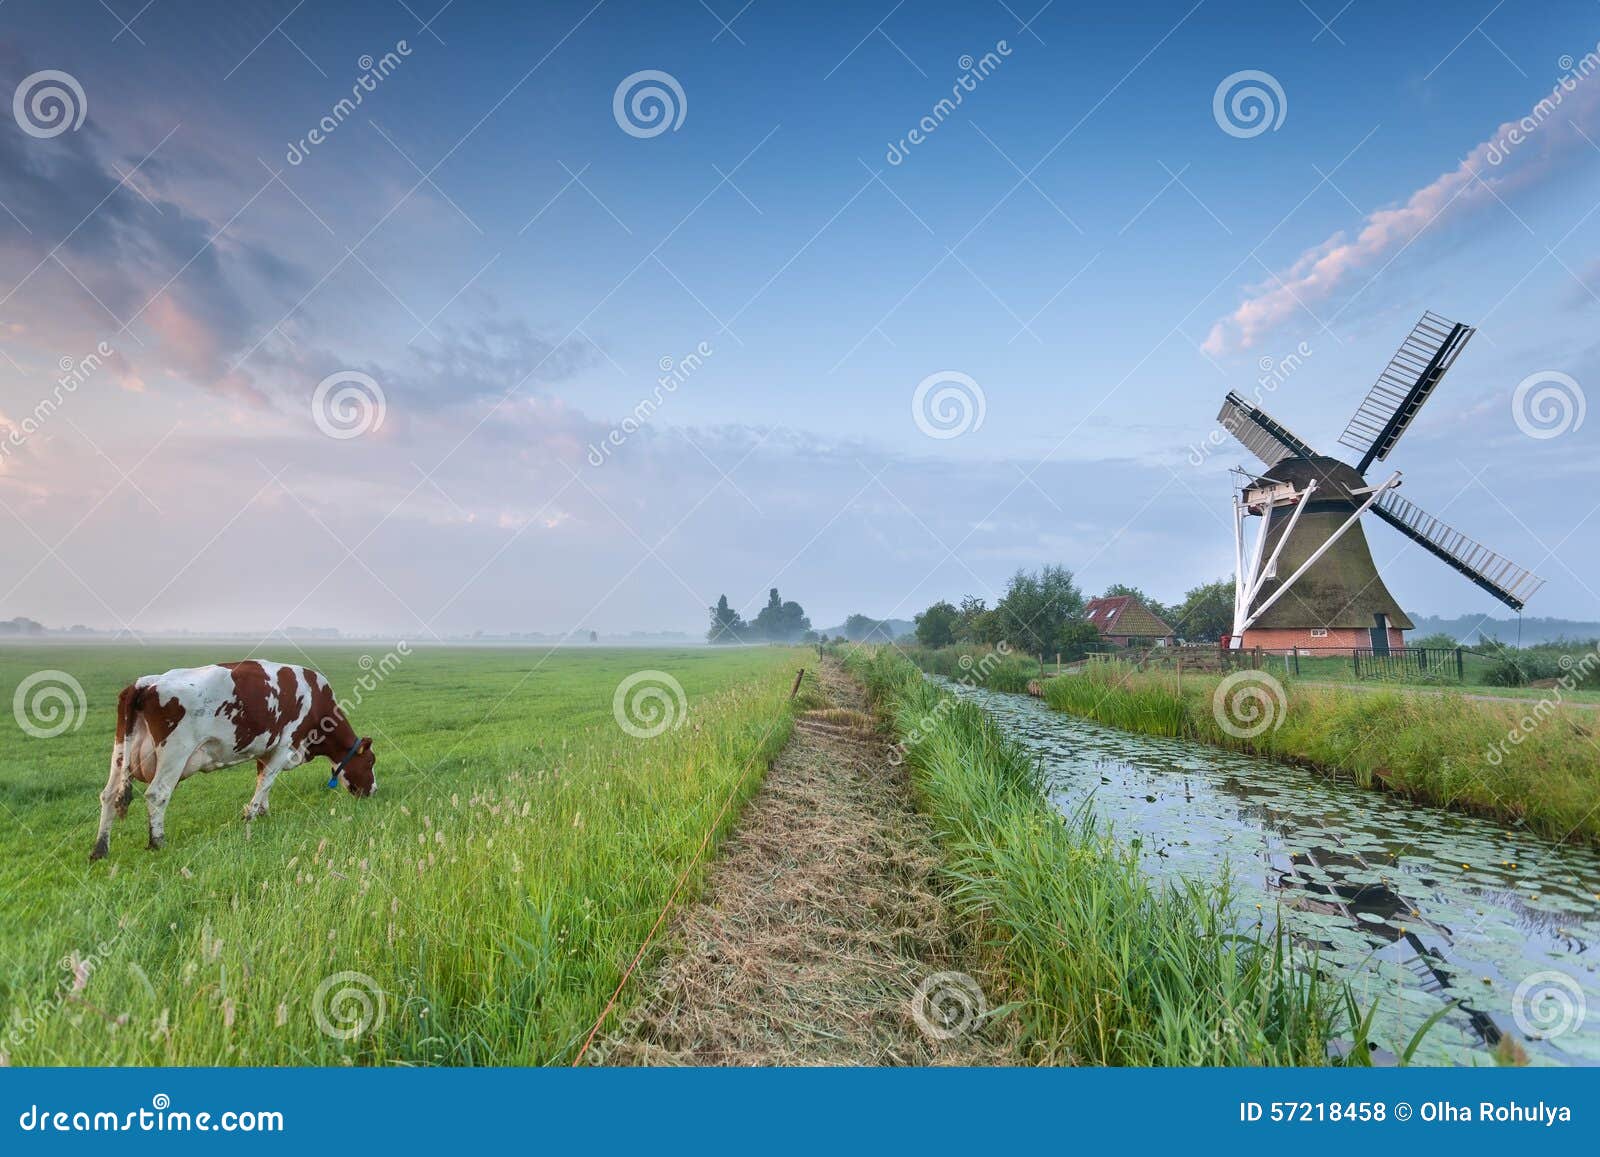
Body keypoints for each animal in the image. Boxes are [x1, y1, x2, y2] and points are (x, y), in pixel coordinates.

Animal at [89, 660, 376, 860]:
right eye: (370, 762)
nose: (373, 790)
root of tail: (144, 684)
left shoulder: (266, 747)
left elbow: (263, 779)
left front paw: (263, 811)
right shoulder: (285, 745)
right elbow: (267, 781)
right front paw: (250, 815)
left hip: (120, 752)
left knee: (109, 795)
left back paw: (100, 850)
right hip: (175, 752)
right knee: (157, 794)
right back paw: (157, 842)